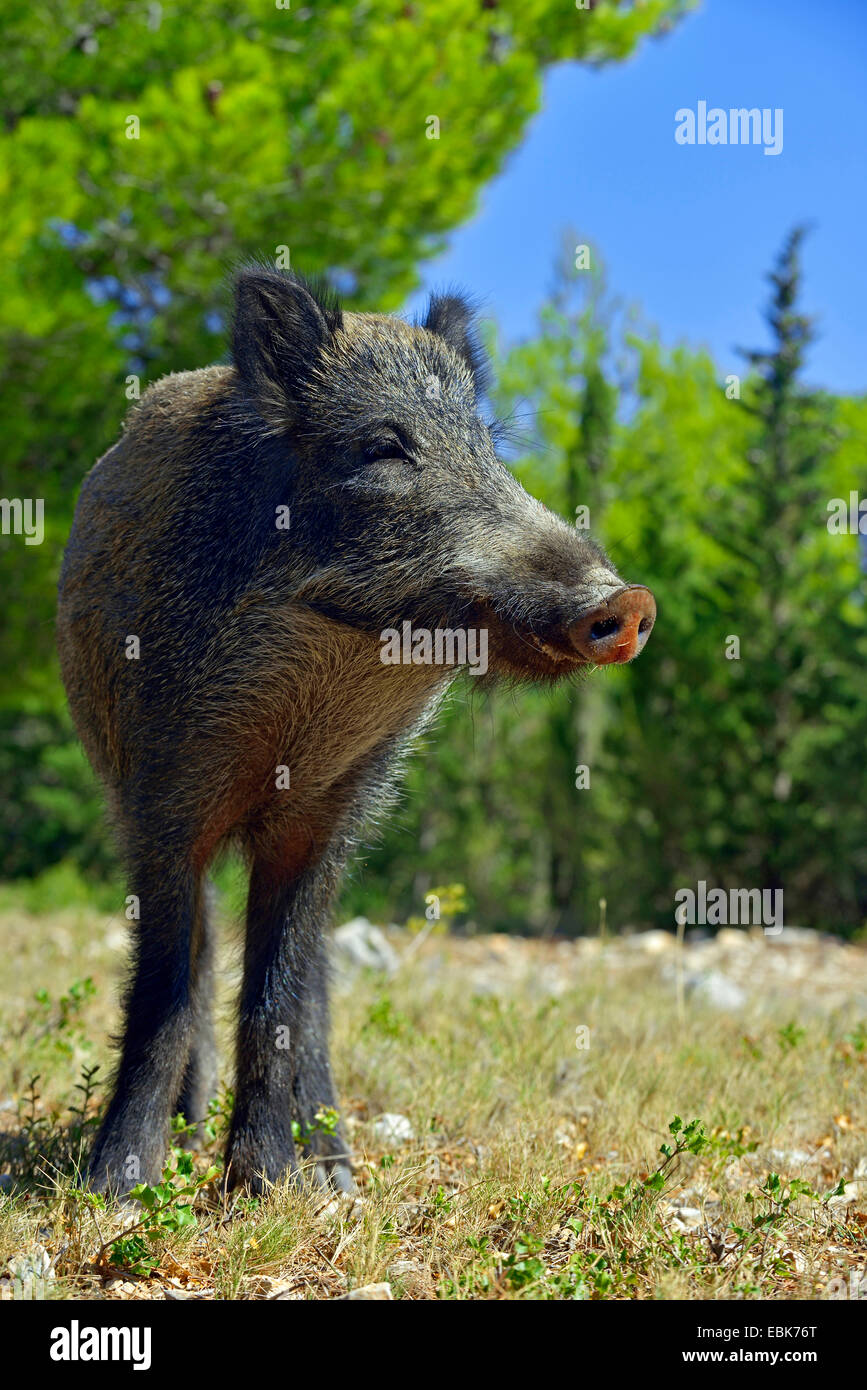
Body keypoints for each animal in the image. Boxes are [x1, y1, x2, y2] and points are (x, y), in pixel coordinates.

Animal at [56, 267, 655, 1195]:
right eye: (382, 447)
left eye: (487, 444)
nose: (626, 600)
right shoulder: (160, 796)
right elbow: (163, 987)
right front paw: (117, 1190)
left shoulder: (329, 812)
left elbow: (279, 996)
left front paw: (267, 1188)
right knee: (203, 955)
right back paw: (190, 1139)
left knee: (312, 988)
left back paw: (332, 1167)